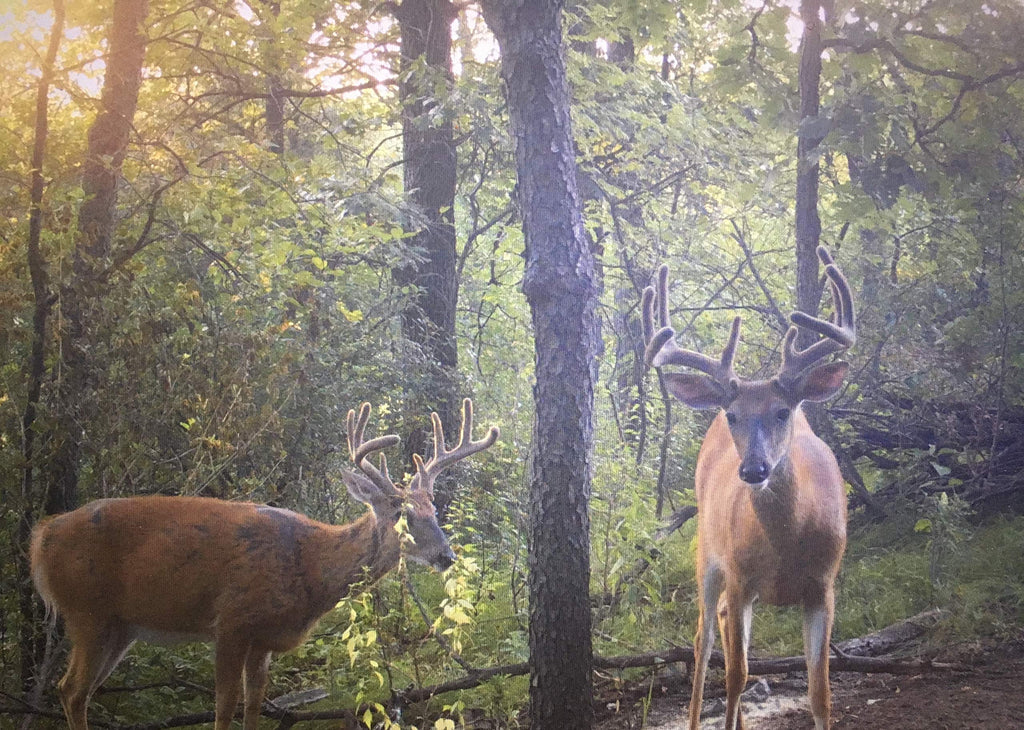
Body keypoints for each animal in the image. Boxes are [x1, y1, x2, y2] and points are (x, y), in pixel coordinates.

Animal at [30, 399, 498, 730]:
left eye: (433, 509)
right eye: (402, 513)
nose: (447, 556)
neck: (310, 567)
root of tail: (41, 537)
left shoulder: (264, 641)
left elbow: (254, 708)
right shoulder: (231, 620)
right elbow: (224, 708)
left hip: (120, 626)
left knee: (78, 692)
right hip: (86, 610)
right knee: (70, 690)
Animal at [641, 246, 855, 730]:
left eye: (782, 411)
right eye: (734, 415)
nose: (754, 469)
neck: (787, 544)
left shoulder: (824, 586)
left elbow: (821, 691)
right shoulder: (740, 578)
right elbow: (736, 676)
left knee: (720, 625)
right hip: (707, 552)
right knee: (703, 640)